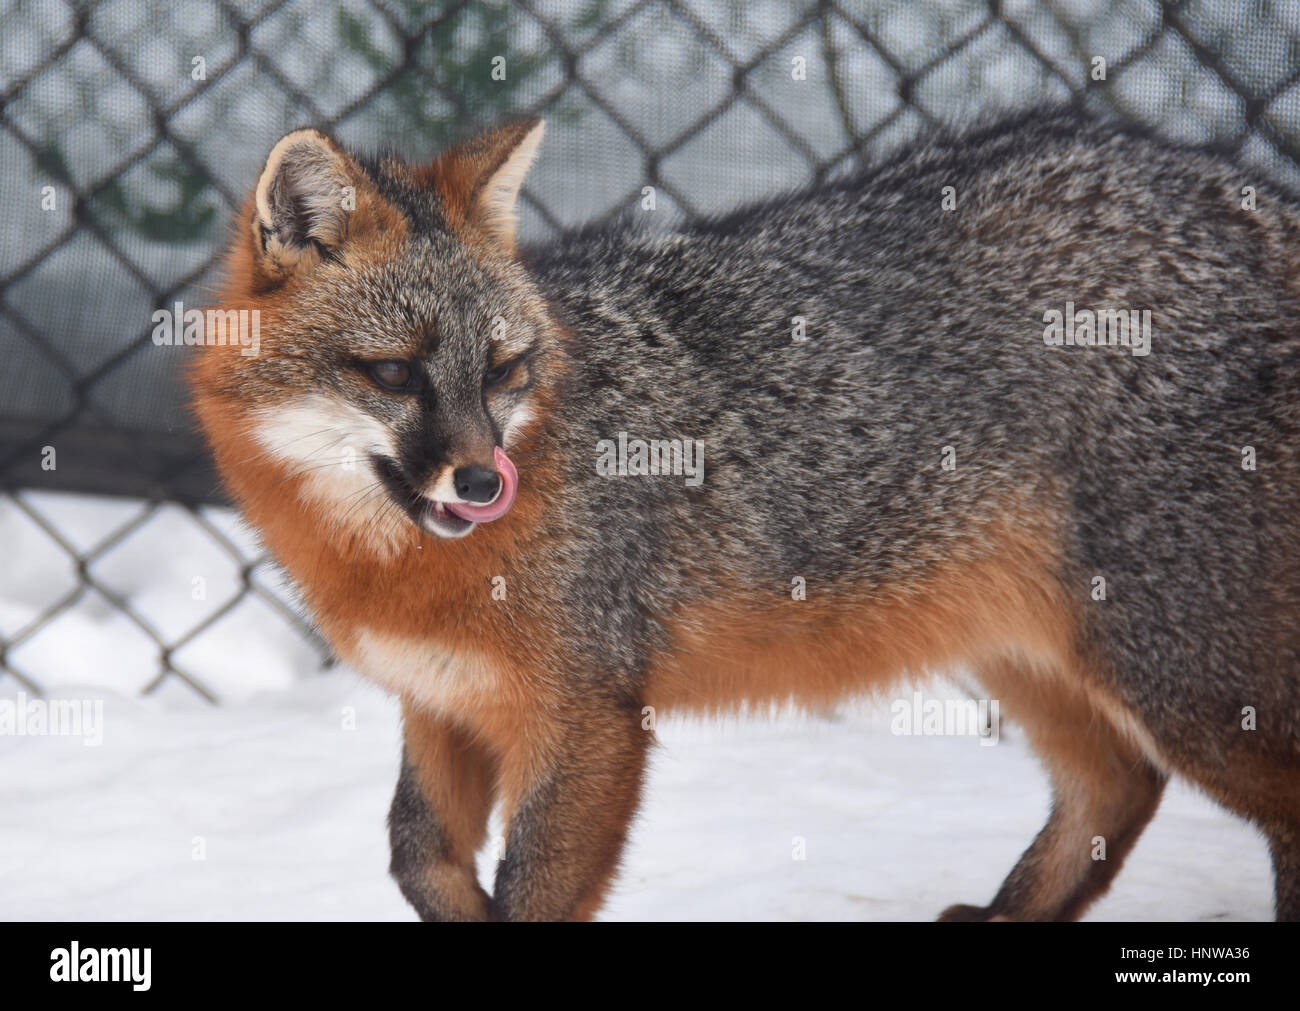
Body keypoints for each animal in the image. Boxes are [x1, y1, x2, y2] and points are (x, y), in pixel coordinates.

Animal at [191, 107, 1300, 922]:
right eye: (392, 374)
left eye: (503, 371)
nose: (482, 484)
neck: (392, 571)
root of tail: (1247, 194)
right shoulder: (441, 700)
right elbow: (413, 851)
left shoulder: (588, 720)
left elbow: (529, 889)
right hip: (1026, 653)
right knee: (1118, 787)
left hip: (1178, 680)